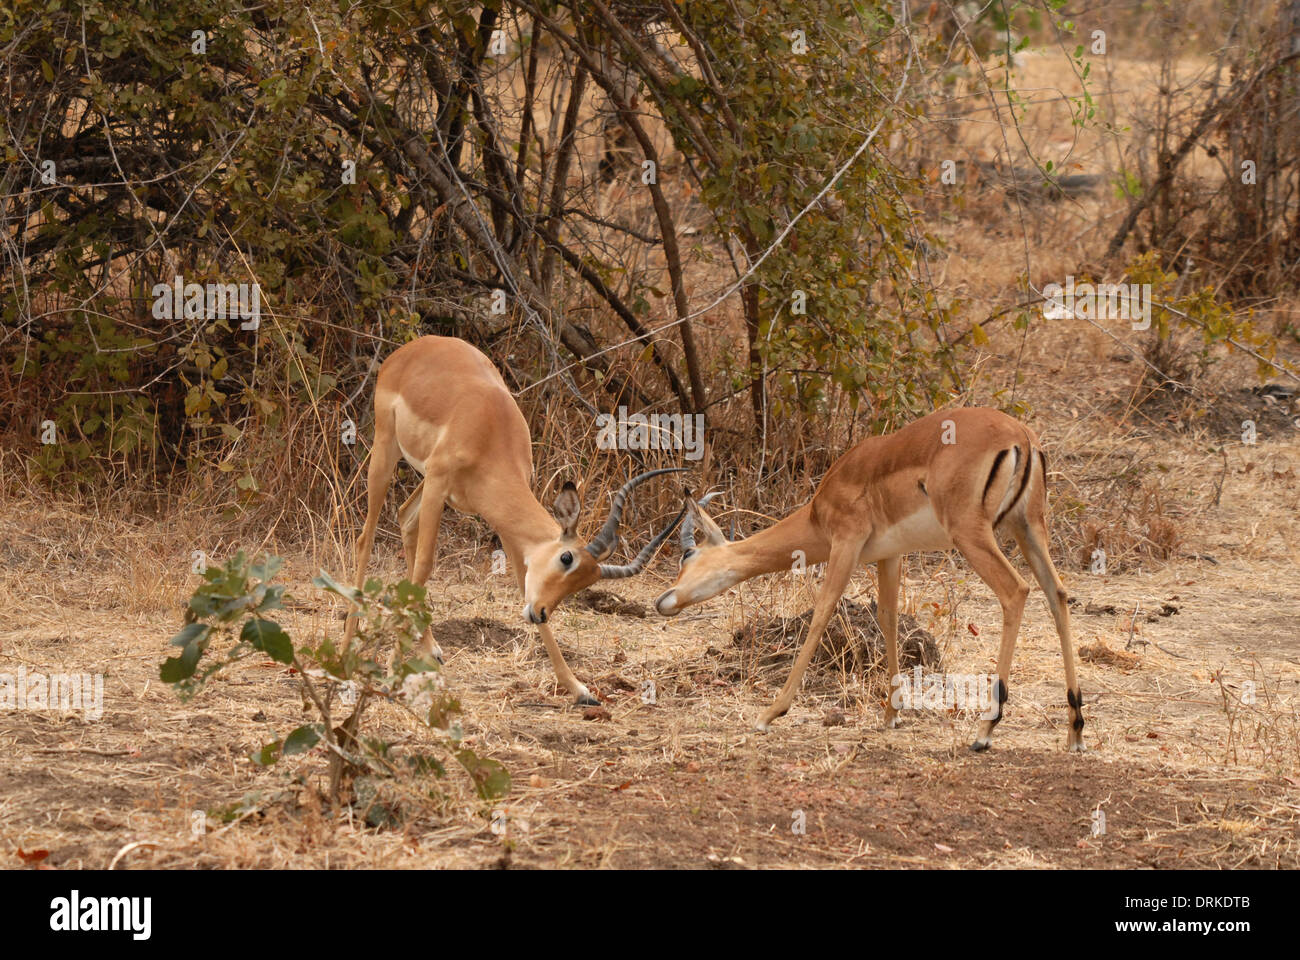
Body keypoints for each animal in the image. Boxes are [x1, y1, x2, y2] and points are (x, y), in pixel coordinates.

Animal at [345, 335, 686, 706]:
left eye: (586, 582)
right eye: (566, 558)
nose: (541, 612)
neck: (490, 431)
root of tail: (413, 347)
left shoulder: (500, 522)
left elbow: (522, 581)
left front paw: (579, 689)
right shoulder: (438, 483)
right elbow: (425, 566)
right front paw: (391, 670)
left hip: (429, 485)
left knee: (405, 518)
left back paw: (430, 649)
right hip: (387, 451)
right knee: (365, 538)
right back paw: (349, 642)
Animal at [655, 407, 1084, 752]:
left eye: (688, 554)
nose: (664, 601)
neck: (819, 510)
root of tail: (1021, 435)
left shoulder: (846, 542)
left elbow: (821, 613)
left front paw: (770, 713)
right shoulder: (890, 555)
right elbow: (889, 618)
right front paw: (892, 715)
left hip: (973, 534)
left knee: (1017, 591)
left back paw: (985, 731)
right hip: (1028, 526)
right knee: (1057, 593)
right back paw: (1075, 729)